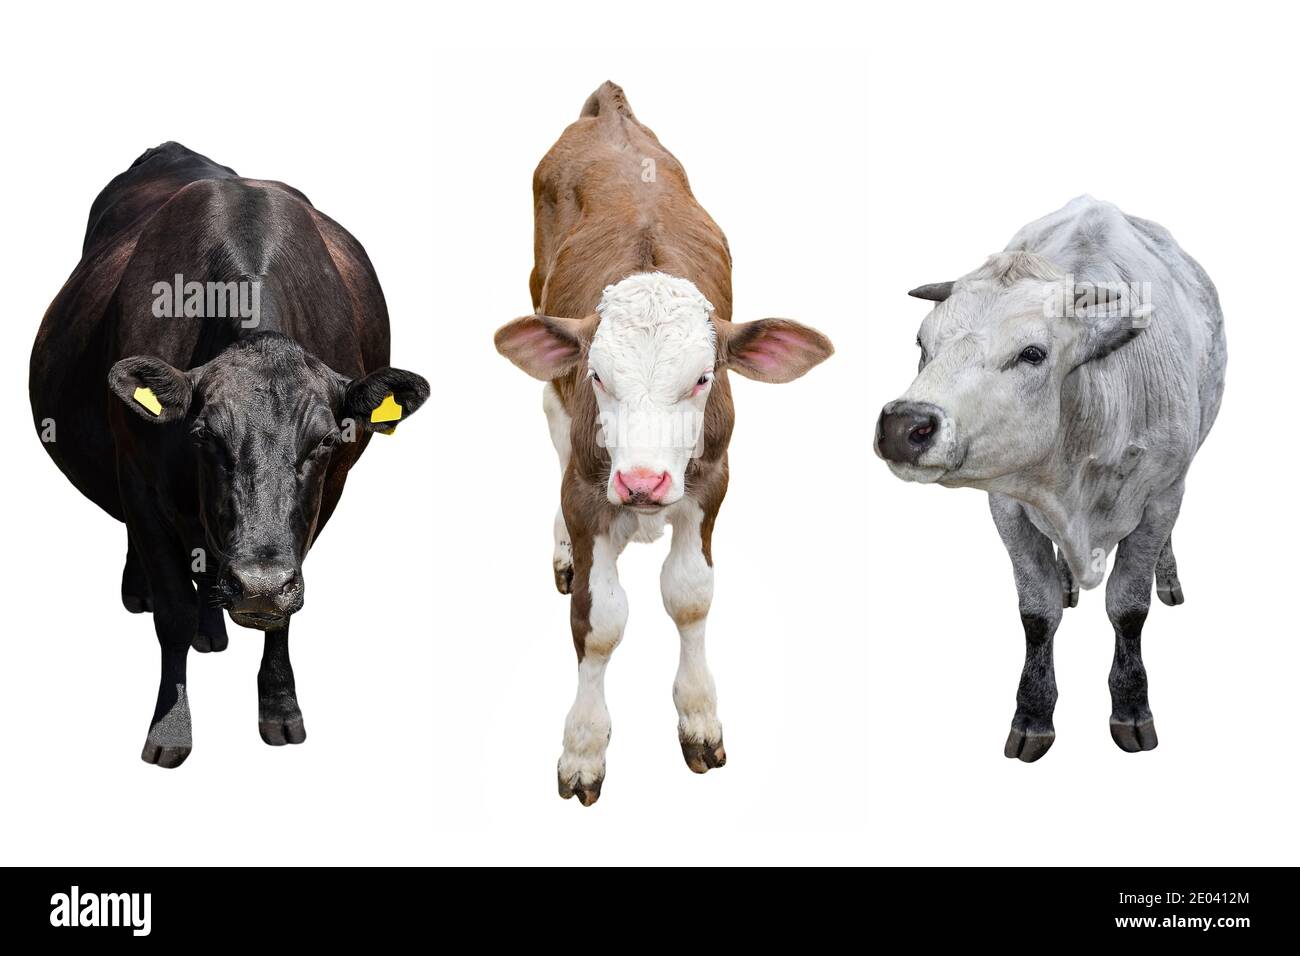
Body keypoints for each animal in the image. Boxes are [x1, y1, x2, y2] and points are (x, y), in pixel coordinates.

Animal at [29, 142, 429, 768]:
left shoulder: (324, 498)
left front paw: (280, 708)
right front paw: (170, 727)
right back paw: (149, 594)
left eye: (324, 441)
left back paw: (213, 624)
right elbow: (170, 611)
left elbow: (282, 612)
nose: (257, 583)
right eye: (204, 436)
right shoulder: (140, 480)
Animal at [494, 83, 834, 805]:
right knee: (550, 422)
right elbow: (598, 624)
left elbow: (690, 594)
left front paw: (700, 716)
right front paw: (584, 746)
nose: (643, 483)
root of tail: (610, 108)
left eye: (703, 378)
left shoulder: (714, 479)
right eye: (598, 375)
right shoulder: (587, 488)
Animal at [875, 196, 1226, 761]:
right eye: (921, 342)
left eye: (1033, 353)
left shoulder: (1160, 496)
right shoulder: (1007, 505)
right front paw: (1033, 714)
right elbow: (1036, 612)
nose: (904, 425)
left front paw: (1132, 708)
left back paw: (1167, 579)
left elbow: (1128, 606)